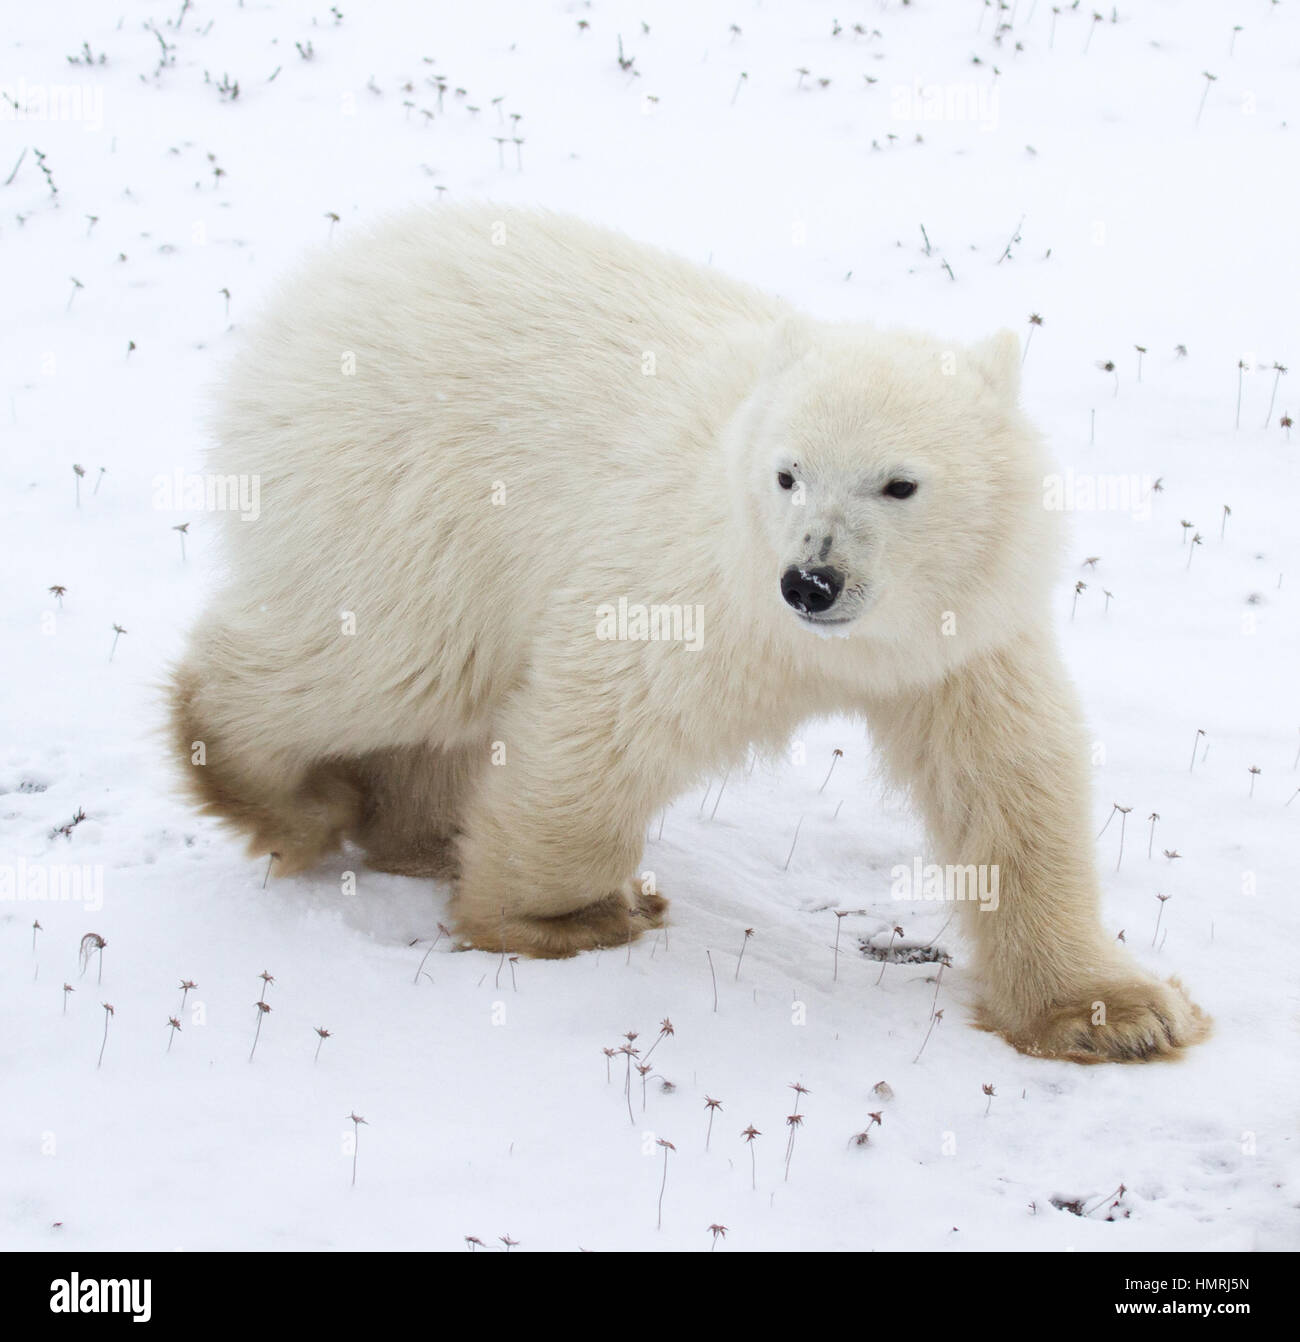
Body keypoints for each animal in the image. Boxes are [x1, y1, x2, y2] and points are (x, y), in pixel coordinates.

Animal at [169, 203, 1208, 1064]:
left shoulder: (962, 641)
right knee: (390, 663)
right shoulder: (696, 588)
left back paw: (420, 832)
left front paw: (1112, 1013)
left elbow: (1012, 779)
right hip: (402, 491)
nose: (811, 582)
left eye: (900, 483)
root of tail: (321, 282)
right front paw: (569, 914)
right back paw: (275, 790)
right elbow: (604, 725)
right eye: (788, 473)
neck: (836, 645)